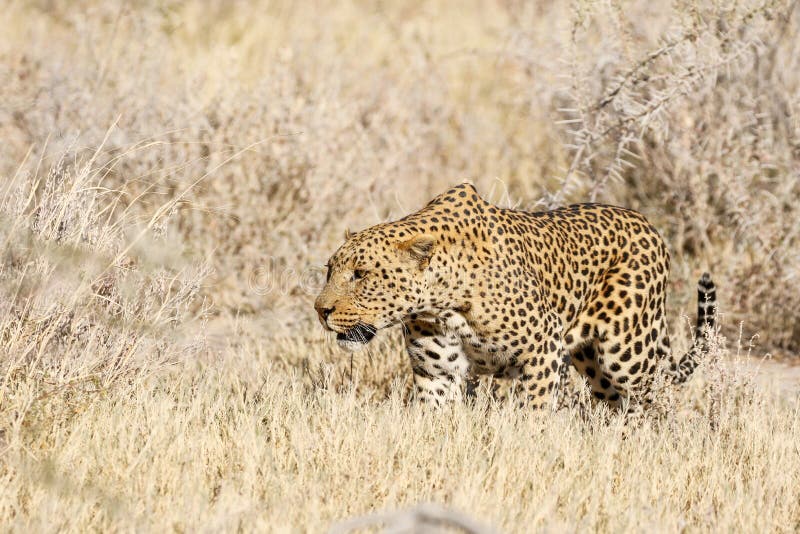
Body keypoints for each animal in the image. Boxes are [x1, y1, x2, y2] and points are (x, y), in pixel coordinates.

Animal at [314, 183, 716, 413]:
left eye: (360, 275)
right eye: (330, 270)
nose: (321, 310)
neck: (440, 303)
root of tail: (649, 225)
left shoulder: (544, 350)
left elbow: (533, 413)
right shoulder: (436, 373)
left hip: (627, 354)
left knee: (652, 401)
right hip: (594, 362)